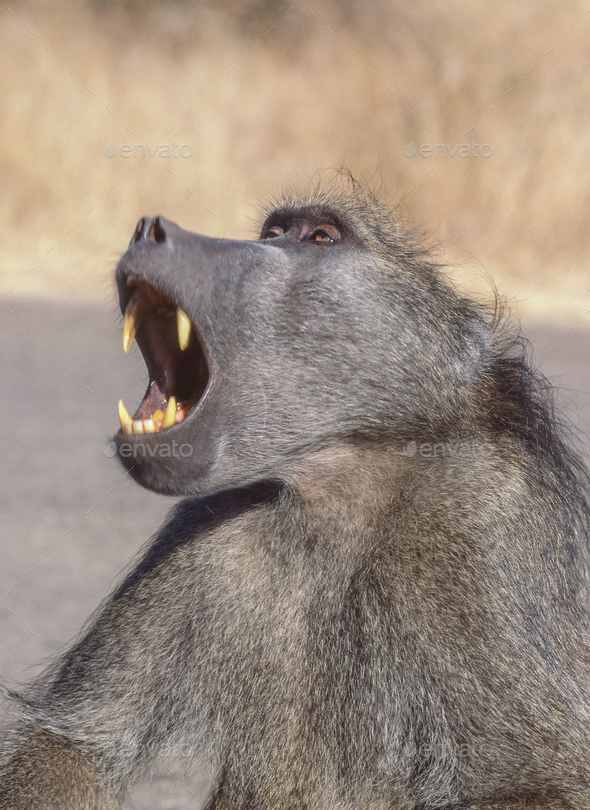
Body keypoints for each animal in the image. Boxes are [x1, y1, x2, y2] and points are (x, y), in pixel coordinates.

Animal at [2, 175, 590, 809]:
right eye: (273, 232)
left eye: (322, 237)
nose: (147, 228)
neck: (339, 490)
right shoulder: (204, 528)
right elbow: (73, 746)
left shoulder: (490, 526)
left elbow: (539, 784)